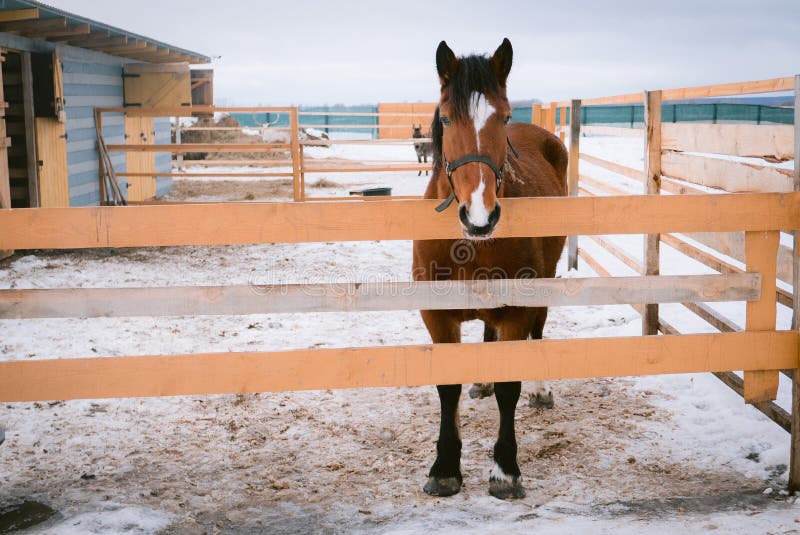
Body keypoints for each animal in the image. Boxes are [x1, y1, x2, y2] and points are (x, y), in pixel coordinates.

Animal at [412, 38, 567, 499]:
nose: (480, 215)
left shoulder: (516, 311)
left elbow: (509, 386)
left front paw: (505, 469)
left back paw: (541, 391)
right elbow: (448, 386)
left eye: (505, 116)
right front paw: (445, 467)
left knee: (538, 332)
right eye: (447, 117)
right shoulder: (437, 314)